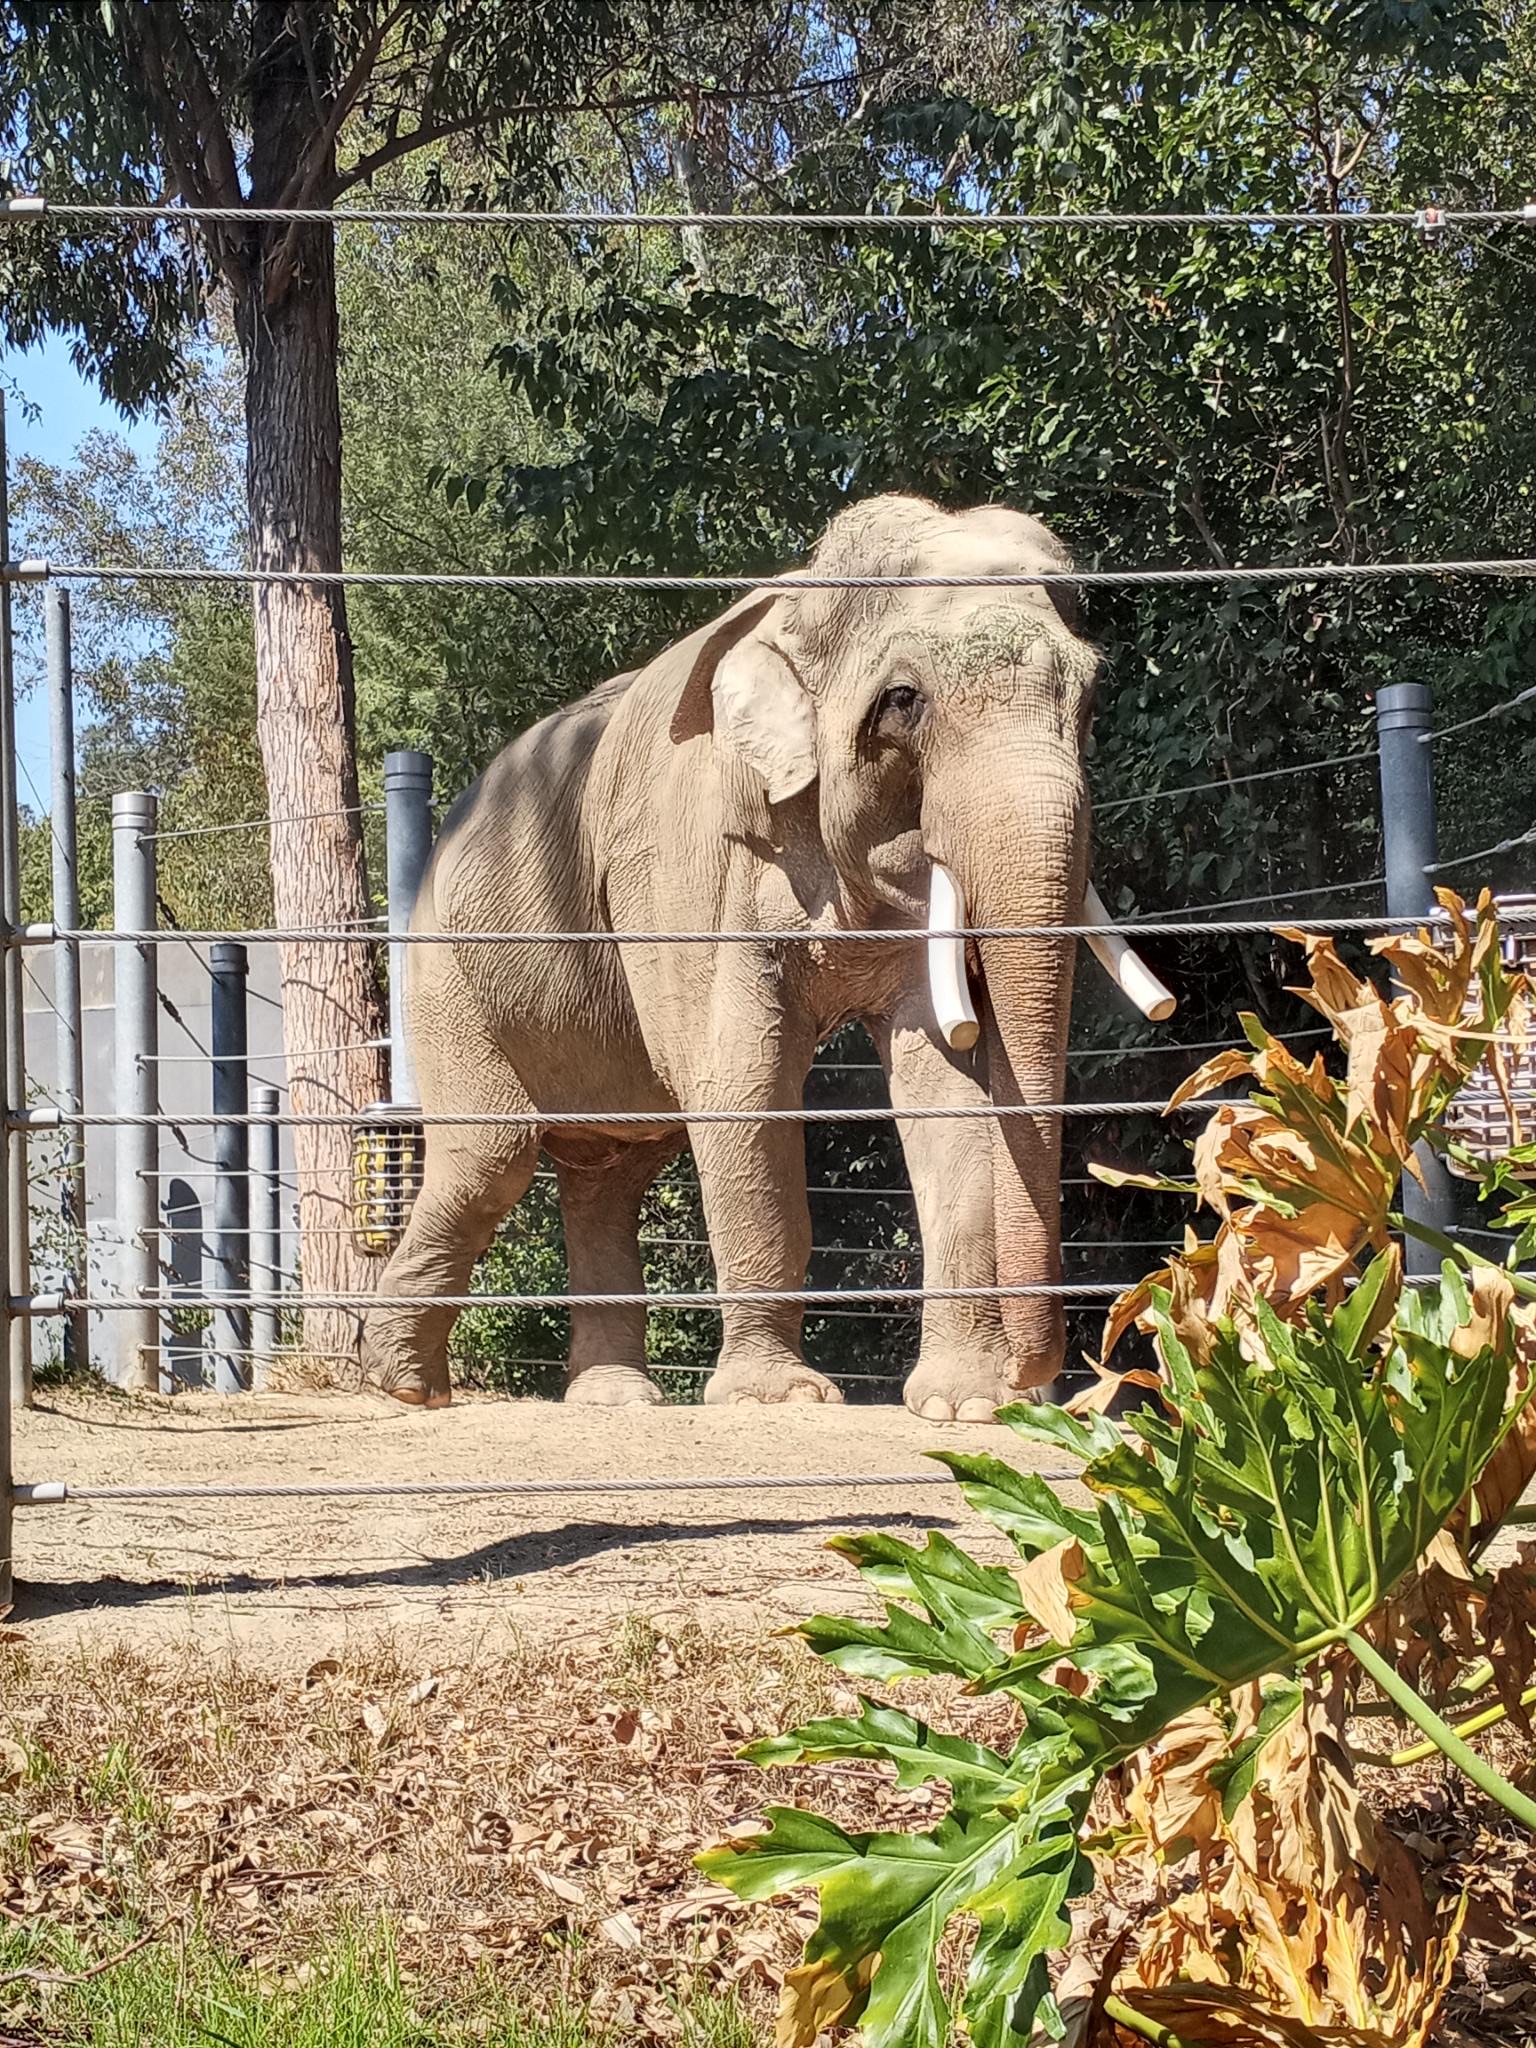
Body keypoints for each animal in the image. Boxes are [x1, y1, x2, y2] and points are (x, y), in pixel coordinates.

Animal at [361, 493, 1172, 1420]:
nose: (1039, 1388)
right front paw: (778, 1399)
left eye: (1091, 697)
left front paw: (963, 1406)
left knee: (610, 1171)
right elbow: (741, 1083)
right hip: (445, 975)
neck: (797, 603)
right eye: (904, 701)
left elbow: (946, 1095)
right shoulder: (687, 861)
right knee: (492, 1156)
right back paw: (405, 1386)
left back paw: (613, 1399)